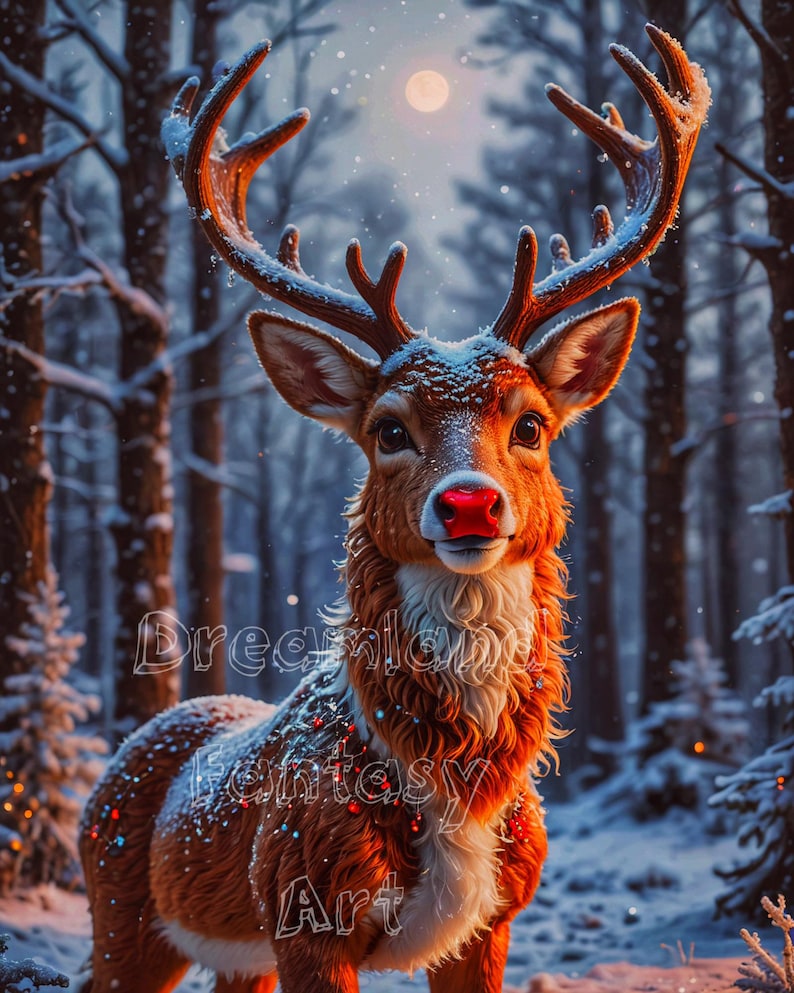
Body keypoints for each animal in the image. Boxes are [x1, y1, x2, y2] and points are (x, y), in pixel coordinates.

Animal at [79, 25, 708, 993]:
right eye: (388, 429)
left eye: (531, 423)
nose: (470, 503)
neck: (450, 787)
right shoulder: (306, 907)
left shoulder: (492, 920)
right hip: (122, 910)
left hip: (229, 951)